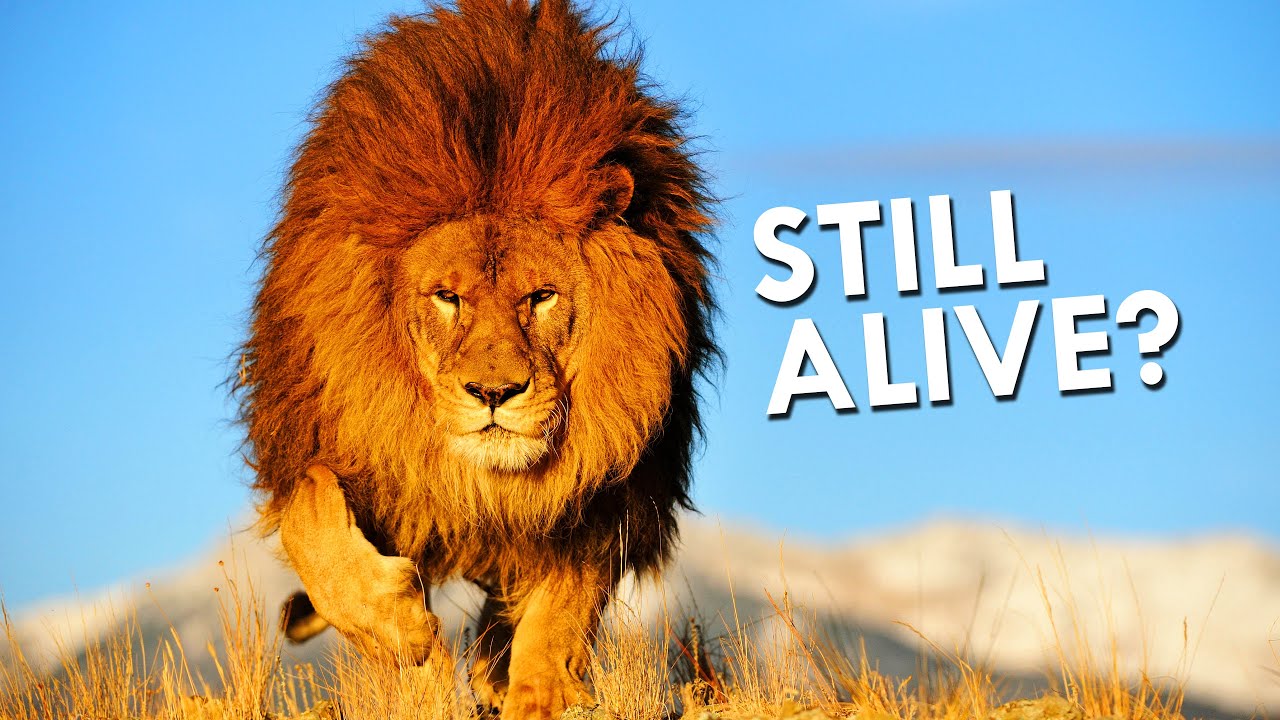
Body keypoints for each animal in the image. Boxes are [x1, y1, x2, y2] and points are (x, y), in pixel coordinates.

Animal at [234, 1, 715, 717]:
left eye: (541, 296)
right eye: (447, 297)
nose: (494, 394)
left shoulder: (611, 486)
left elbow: (560, 611)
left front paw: (535, 693)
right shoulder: (322, 437)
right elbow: (311, 519)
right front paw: (404, 633)